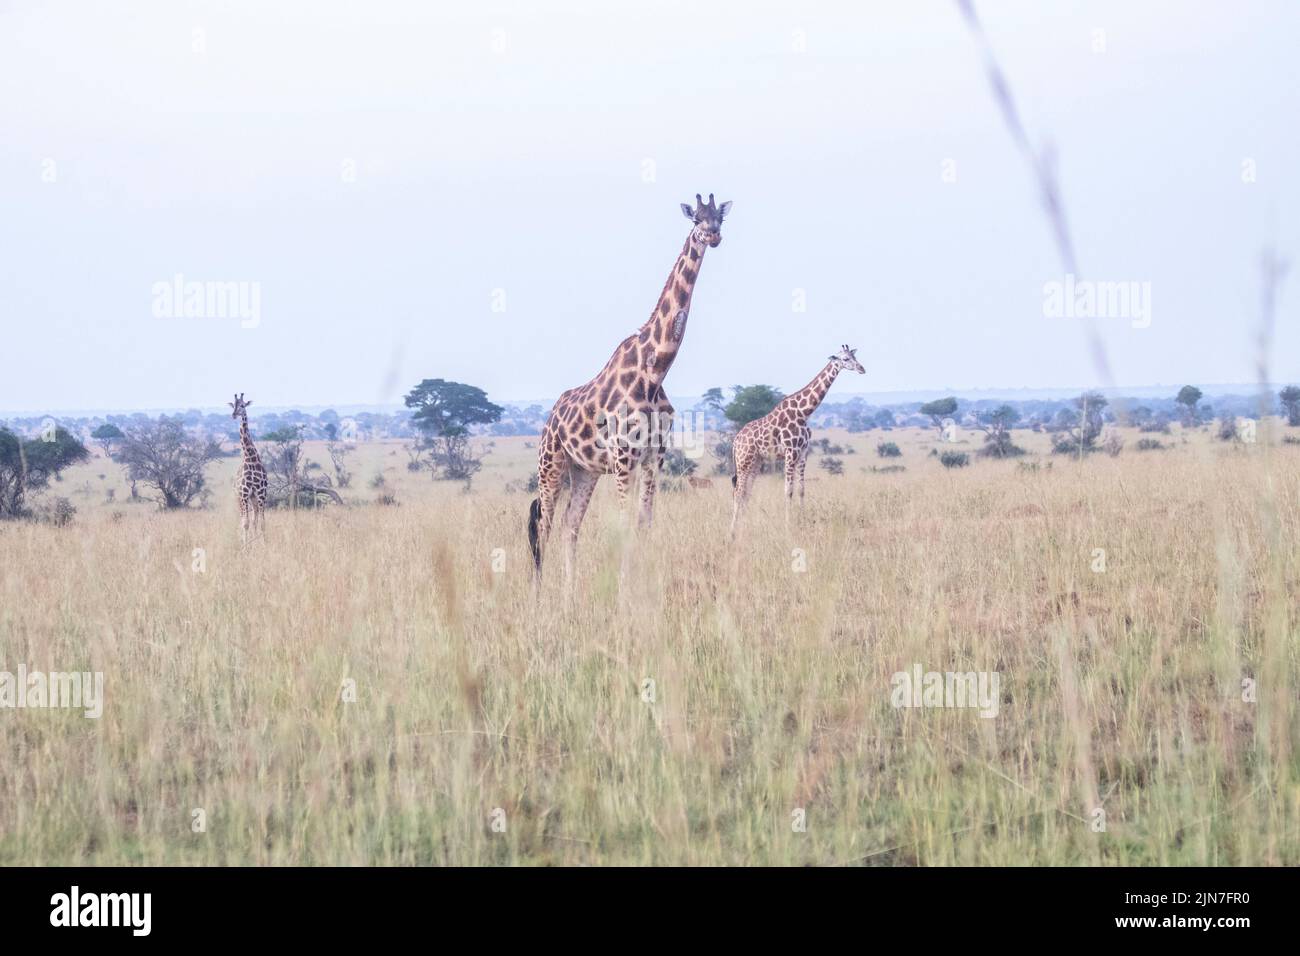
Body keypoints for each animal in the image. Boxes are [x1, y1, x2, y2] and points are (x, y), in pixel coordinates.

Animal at [528, 193, 732, 581]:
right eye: (695, 218)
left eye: (720, 218)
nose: (713, 235)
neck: (654, 373)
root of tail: (549, 420)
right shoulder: (623, 457)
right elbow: (624, 525)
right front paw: (624, 589)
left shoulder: (655, 455)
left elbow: (644, 523)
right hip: (551, 463)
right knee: (543, 524)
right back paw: (539, 590)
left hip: (585, 470)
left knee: (569, 523)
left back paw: (569, 589)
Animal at [729, 345, 865, 534]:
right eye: (845, 359)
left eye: (854, 356)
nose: (862, 369)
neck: (803, 412)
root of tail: (735, 441)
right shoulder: (790, 451)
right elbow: (788, 490)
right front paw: (788, 525)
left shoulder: (803, 452)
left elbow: (801, 489)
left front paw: (802, 521)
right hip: (744, 461)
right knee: (738, 492)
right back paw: (733, 531)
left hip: (755, 462)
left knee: (746, 493)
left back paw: (744, 526)